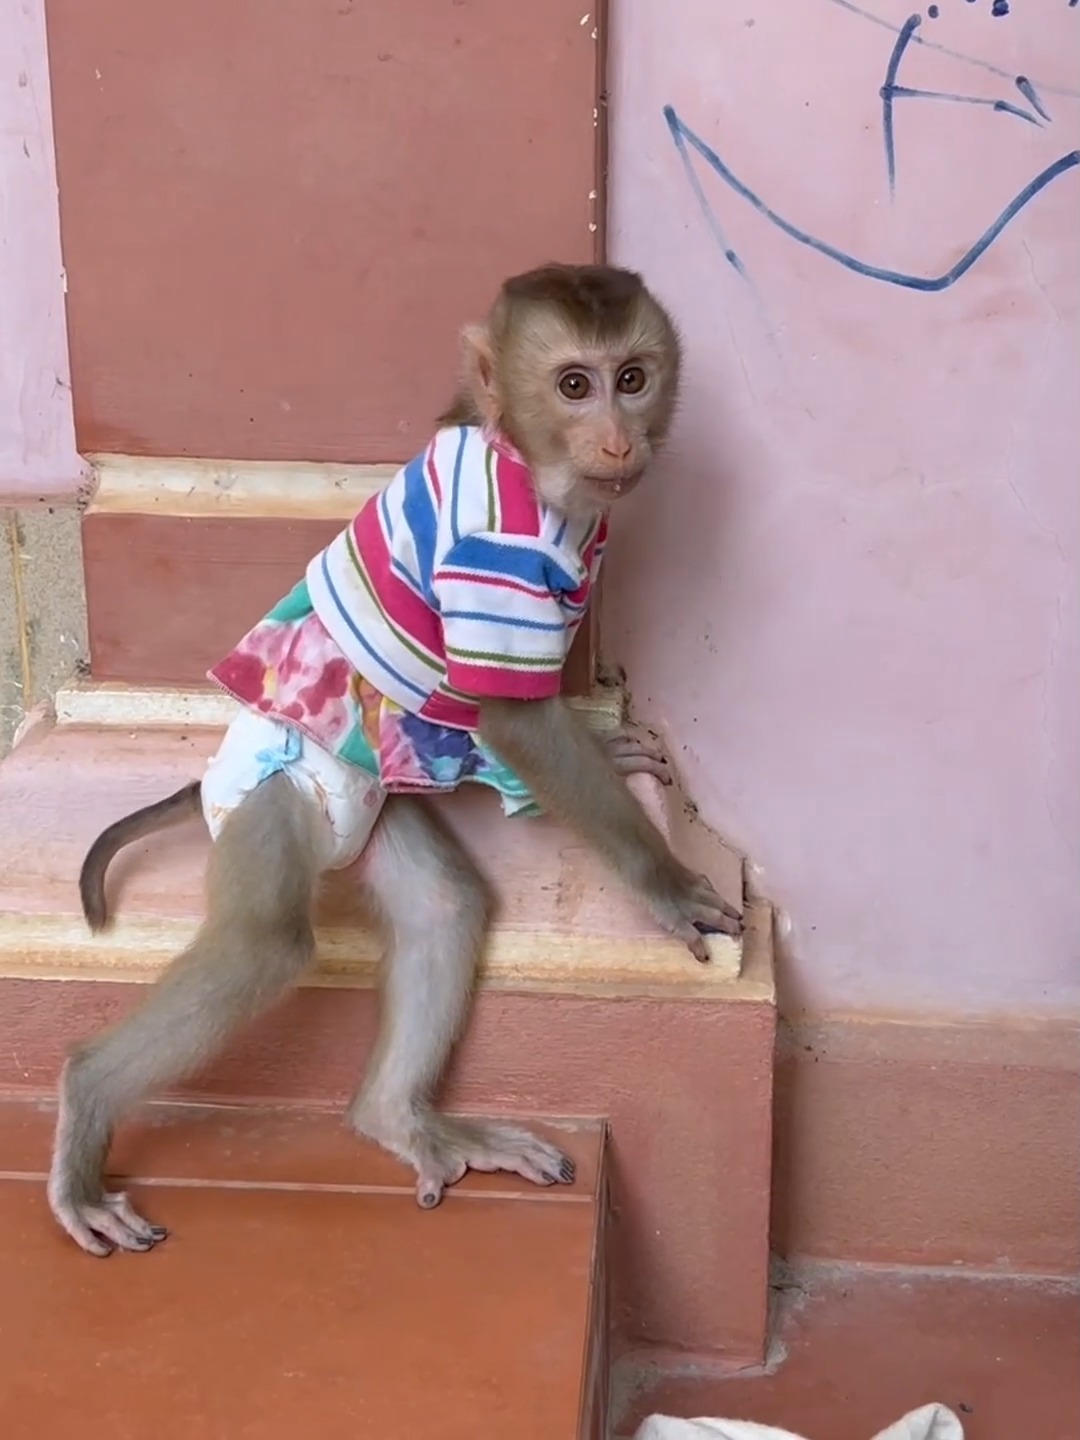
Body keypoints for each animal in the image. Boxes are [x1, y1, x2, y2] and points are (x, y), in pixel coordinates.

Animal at [49, 263, 742, 1257]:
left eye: (634, 378)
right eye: (575, 383)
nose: (618, 436)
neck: (529, 460)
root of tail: (215, 771)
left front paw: (602, 743)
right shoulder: (498, 548)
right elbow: (513, 715)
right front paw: (665, 881)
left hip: (373, 812)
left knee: (444, 907)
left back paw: (396, 1119)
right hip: (276, 803)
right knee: (264, 946)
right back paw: (89, 1093)